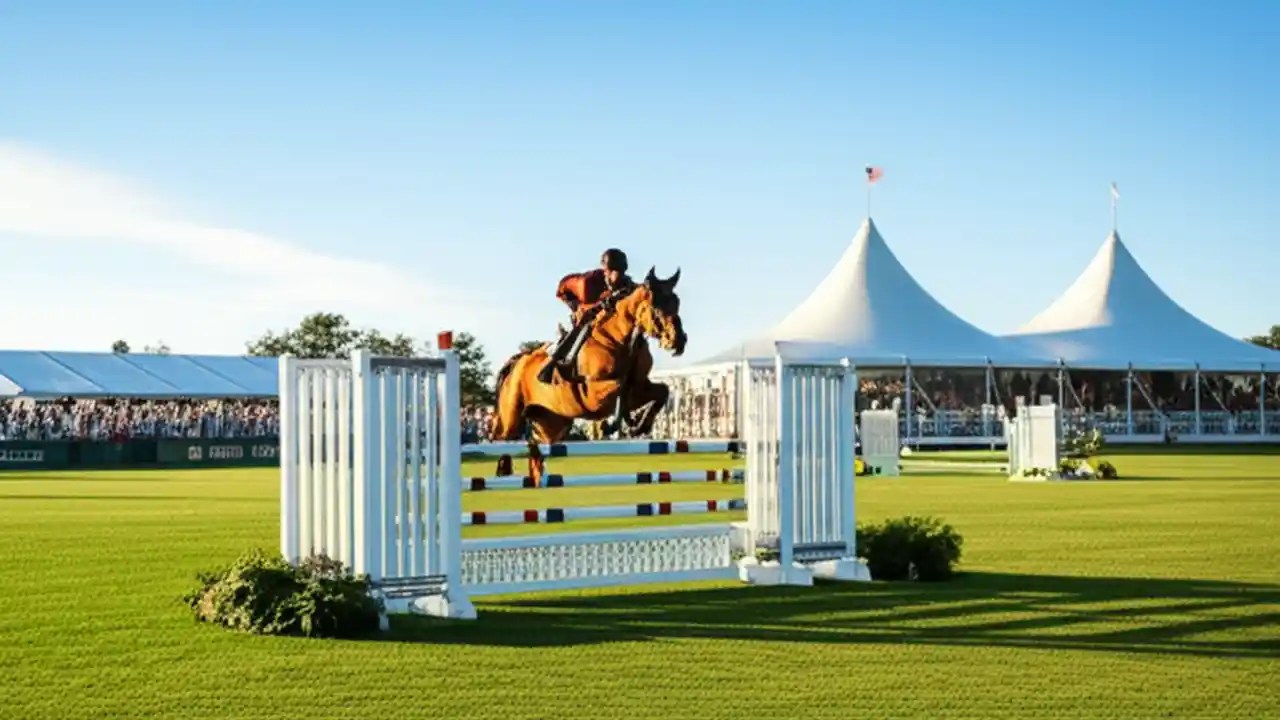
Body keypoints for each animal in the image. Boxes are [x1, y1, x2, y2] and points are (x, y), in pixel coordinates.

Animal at [489, 267, 687, 485]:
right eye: (655, 307)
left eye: (677, 303)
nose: (678, 341)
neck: (618, 339)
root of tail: (518, 360)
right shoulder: (593, 396)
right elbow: (620, 388)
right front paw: (616, 424)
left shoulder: (639, 387)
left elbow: (662, 391)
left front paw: (639, 425)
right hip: (511, 419)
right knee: (499, 437)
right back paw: (503, 470)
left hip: (551, 424)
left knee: (535, 445)